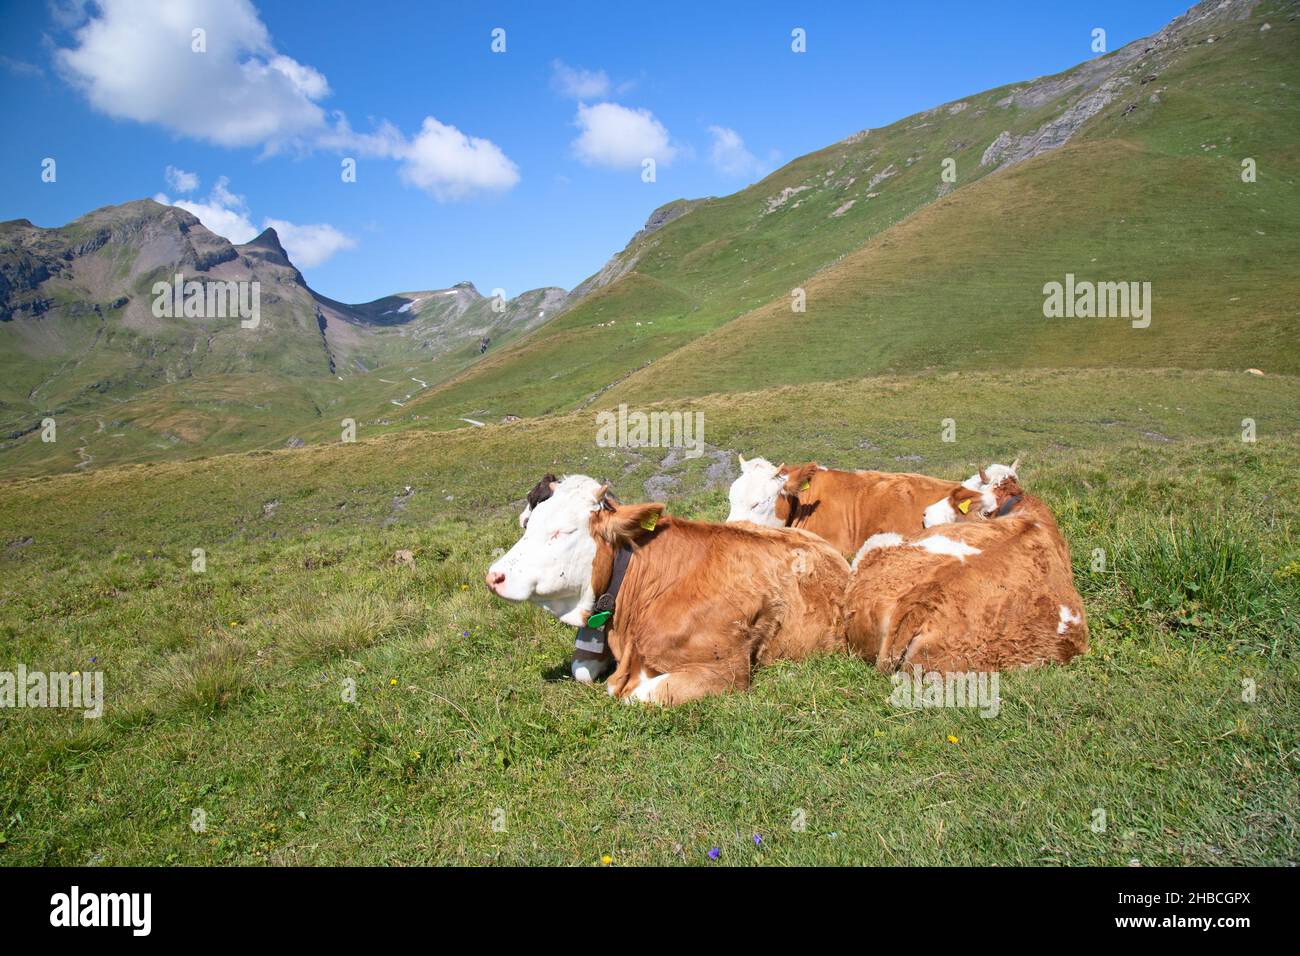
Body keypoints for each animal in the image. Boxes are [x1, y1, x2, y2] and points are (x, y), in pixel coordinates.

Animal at [487, 474, 851, 705]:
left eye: (563, 531)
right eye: (529, 523)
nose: (494, 576)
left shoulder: (726, 670)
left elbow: (633, 694)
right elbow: (582, 671)